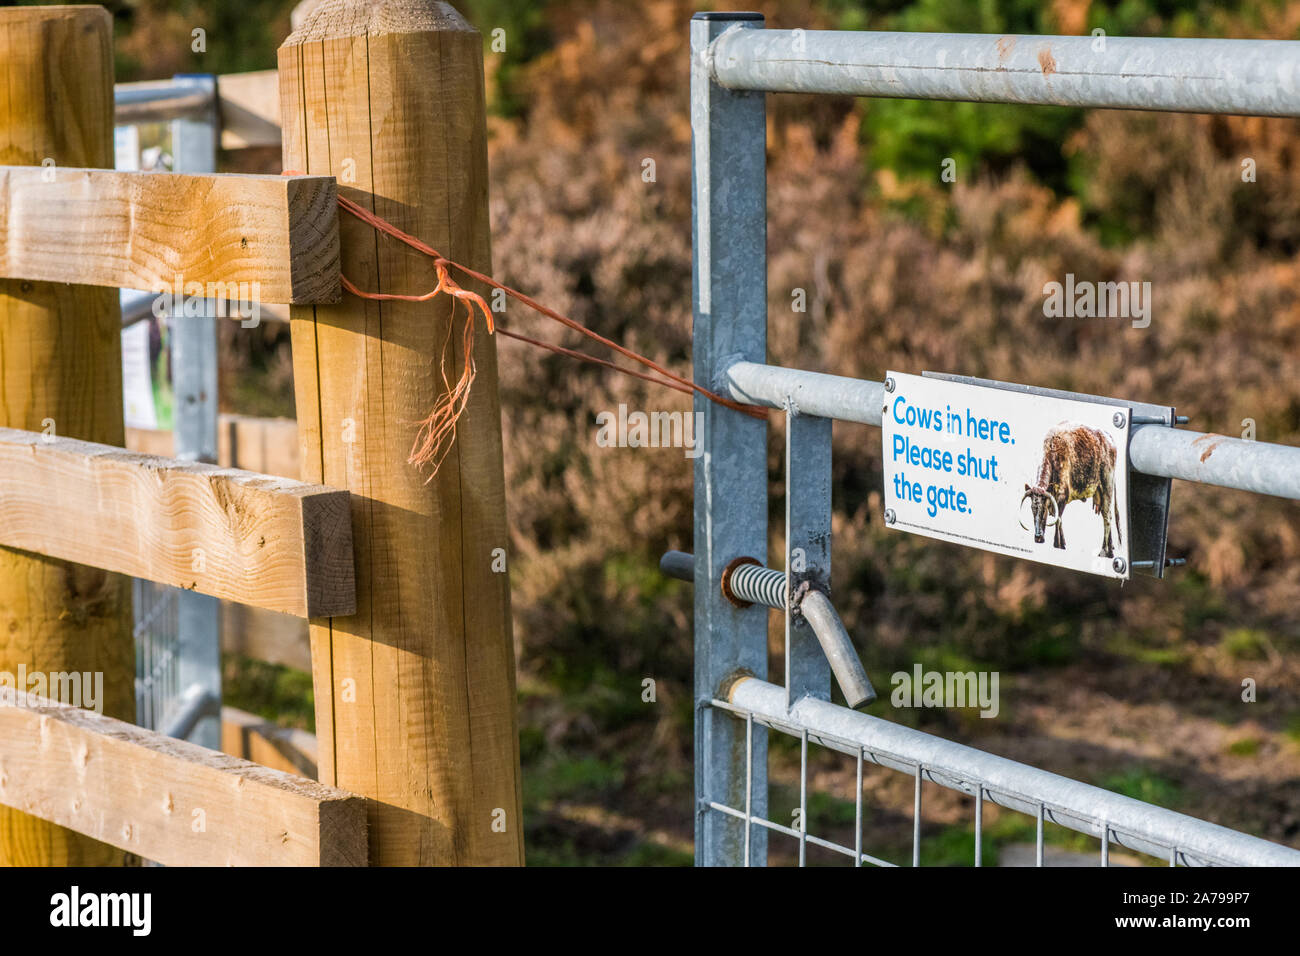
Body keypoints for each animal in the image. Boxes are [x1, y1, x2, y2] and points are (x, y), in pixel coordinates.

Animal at [1020, 423, 1122, 557]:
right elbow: (1059, 520)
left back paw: (1105, 551)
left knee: (1107, 517)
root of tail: (1109, 437)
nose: (1038, 537)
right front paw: (1062, 542)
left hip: (1107, 487)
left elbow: (1058, 519)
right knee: (1106, 515)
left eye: (1043, 509)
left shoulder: (1062, 496)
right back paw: (1110, 548)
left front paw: (1058, 544)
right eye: (1032, 509)